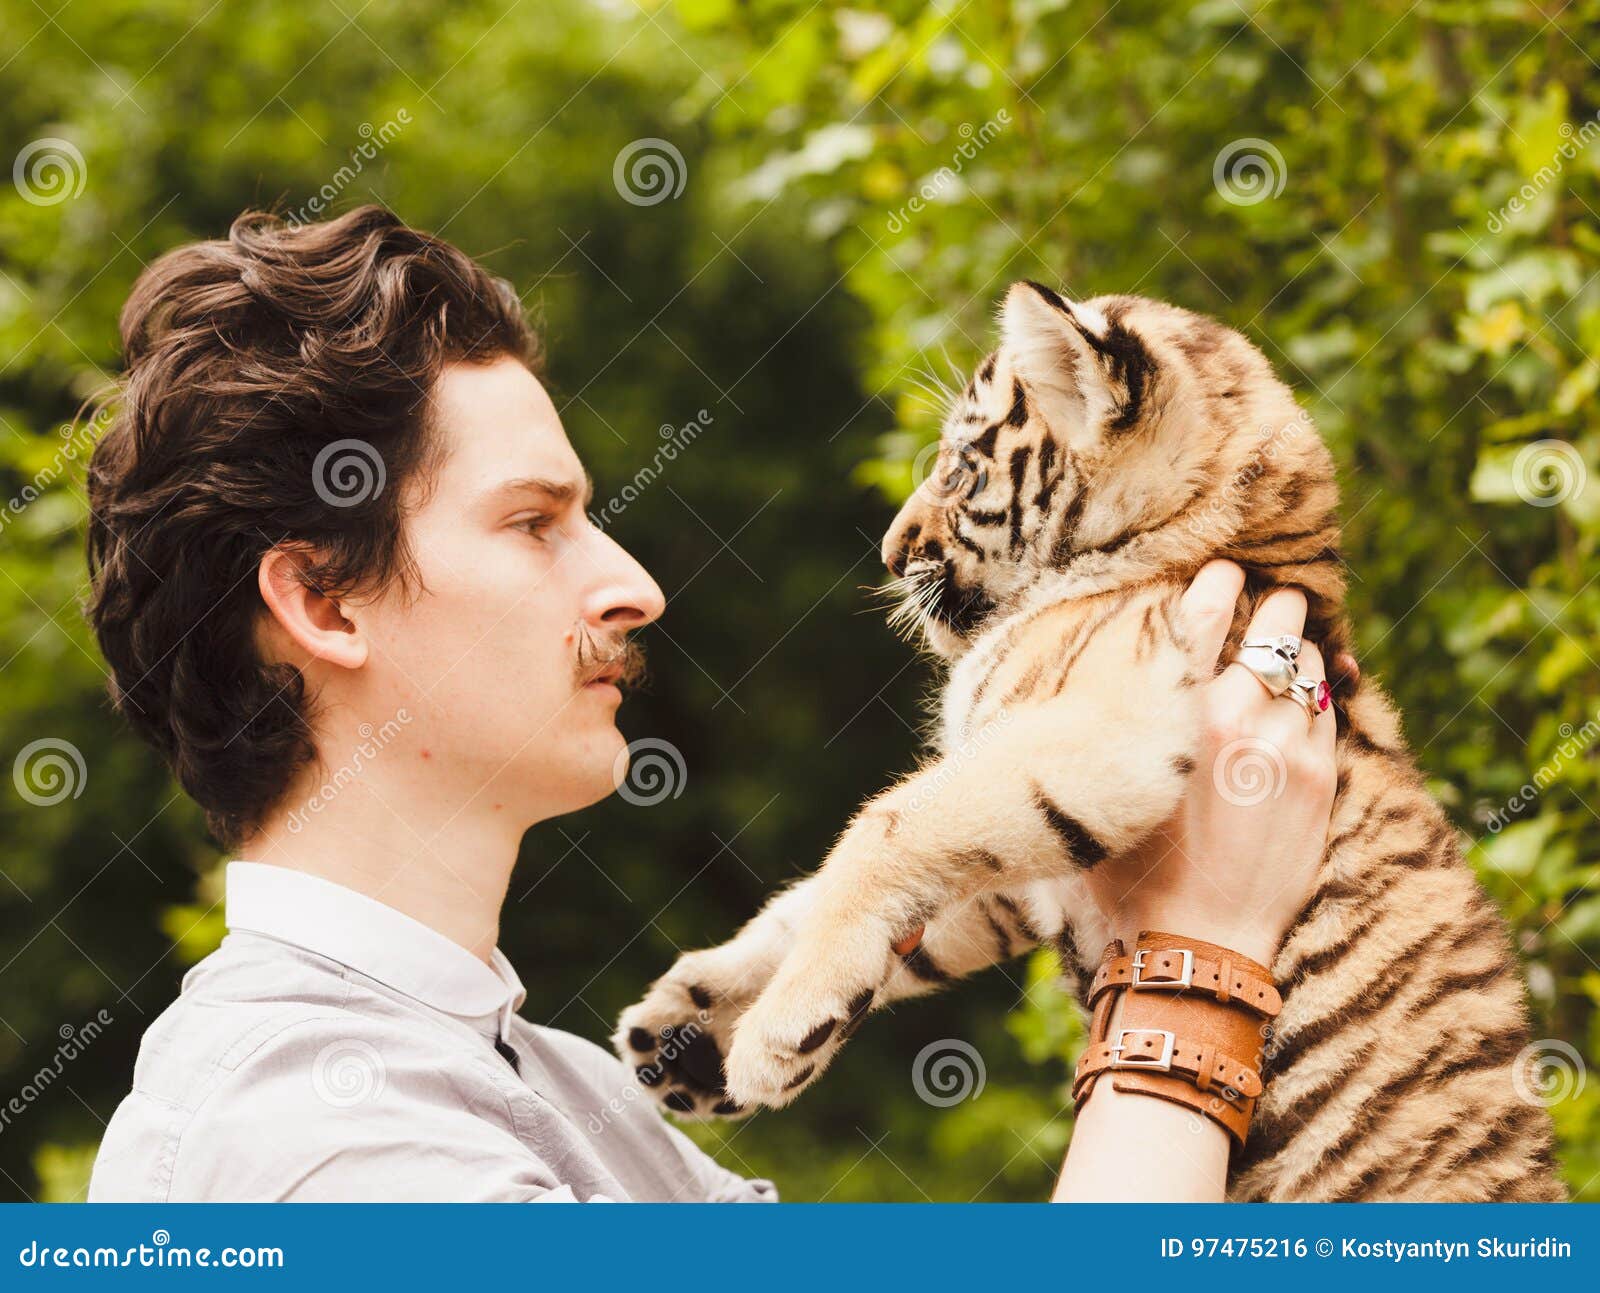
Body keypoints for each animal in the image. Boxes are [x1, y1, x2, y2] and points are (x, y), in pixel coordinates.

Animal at [615, 281, 1565, 1201]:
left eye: (960, 467)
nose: (888, 552)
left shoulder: (1105, 736)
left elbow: (885, 830)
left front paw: (775, 1034)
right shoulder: (1027, 871)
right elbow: (822, 899)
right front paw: (686, 1022)